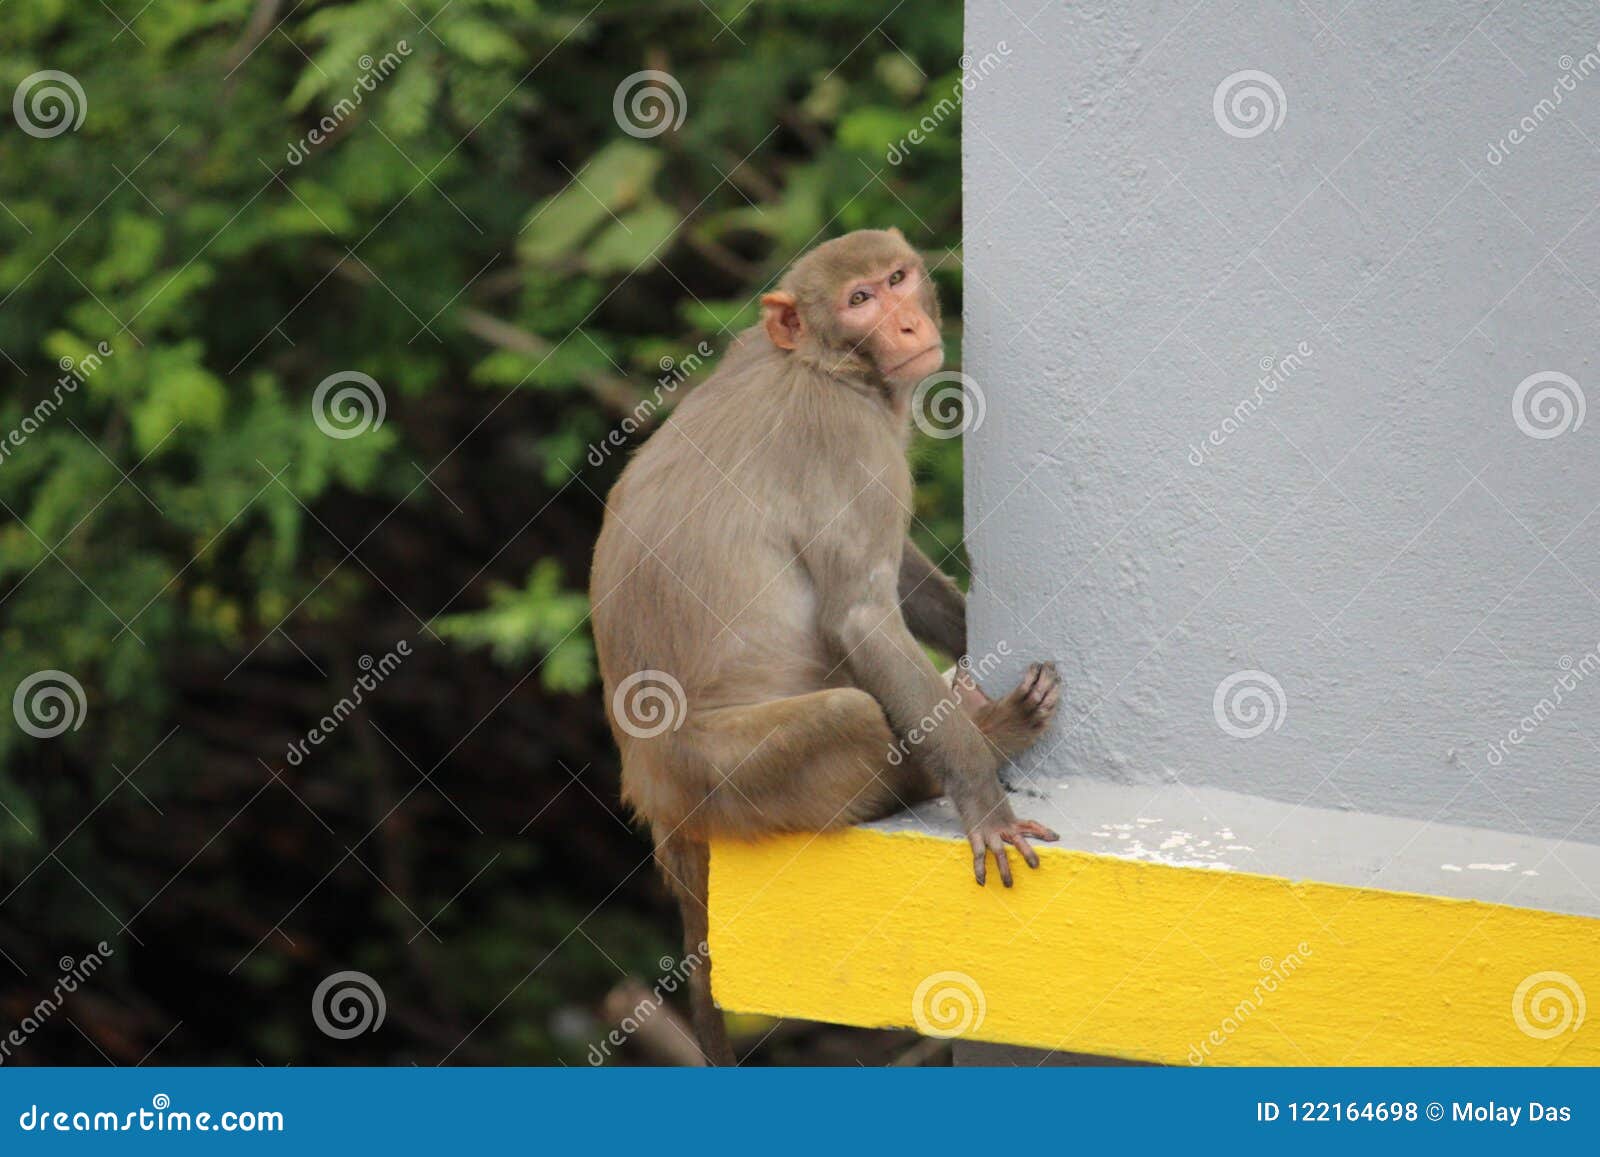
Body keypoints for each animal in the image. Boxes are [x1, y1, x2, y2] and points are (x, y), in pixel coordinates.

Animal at [589, 228, 1061, 1065]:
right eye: (859, 300)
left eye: (897, 279)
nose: (907, 323)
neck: (823, 363)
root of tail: (654, 800)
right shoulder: (844, 436)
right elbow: (861, 614)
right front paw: (983, 796)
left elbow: (893, 577)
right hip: (728, 774)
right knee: (846, 711)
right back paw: (980, 739)